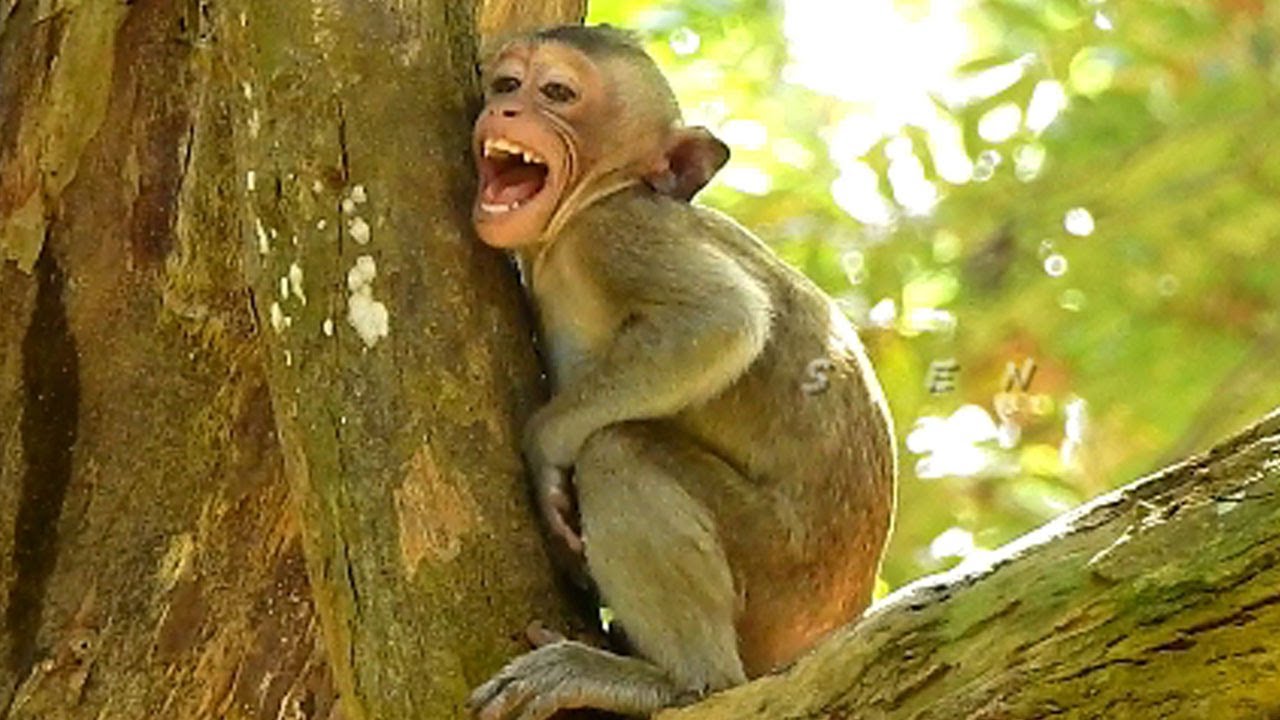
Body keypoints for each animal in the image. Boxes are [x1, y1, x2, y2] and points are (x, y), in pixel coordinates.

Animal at [468, 25, 896, 720]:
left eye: (556, 92)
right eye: (507, 84)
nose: (504, 110)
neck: (595, 197)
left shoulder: (616, 233)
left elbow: (725, 320)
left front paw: (544, 450)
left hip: (775, 569)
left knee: (619, 450)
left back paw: (678, 682)